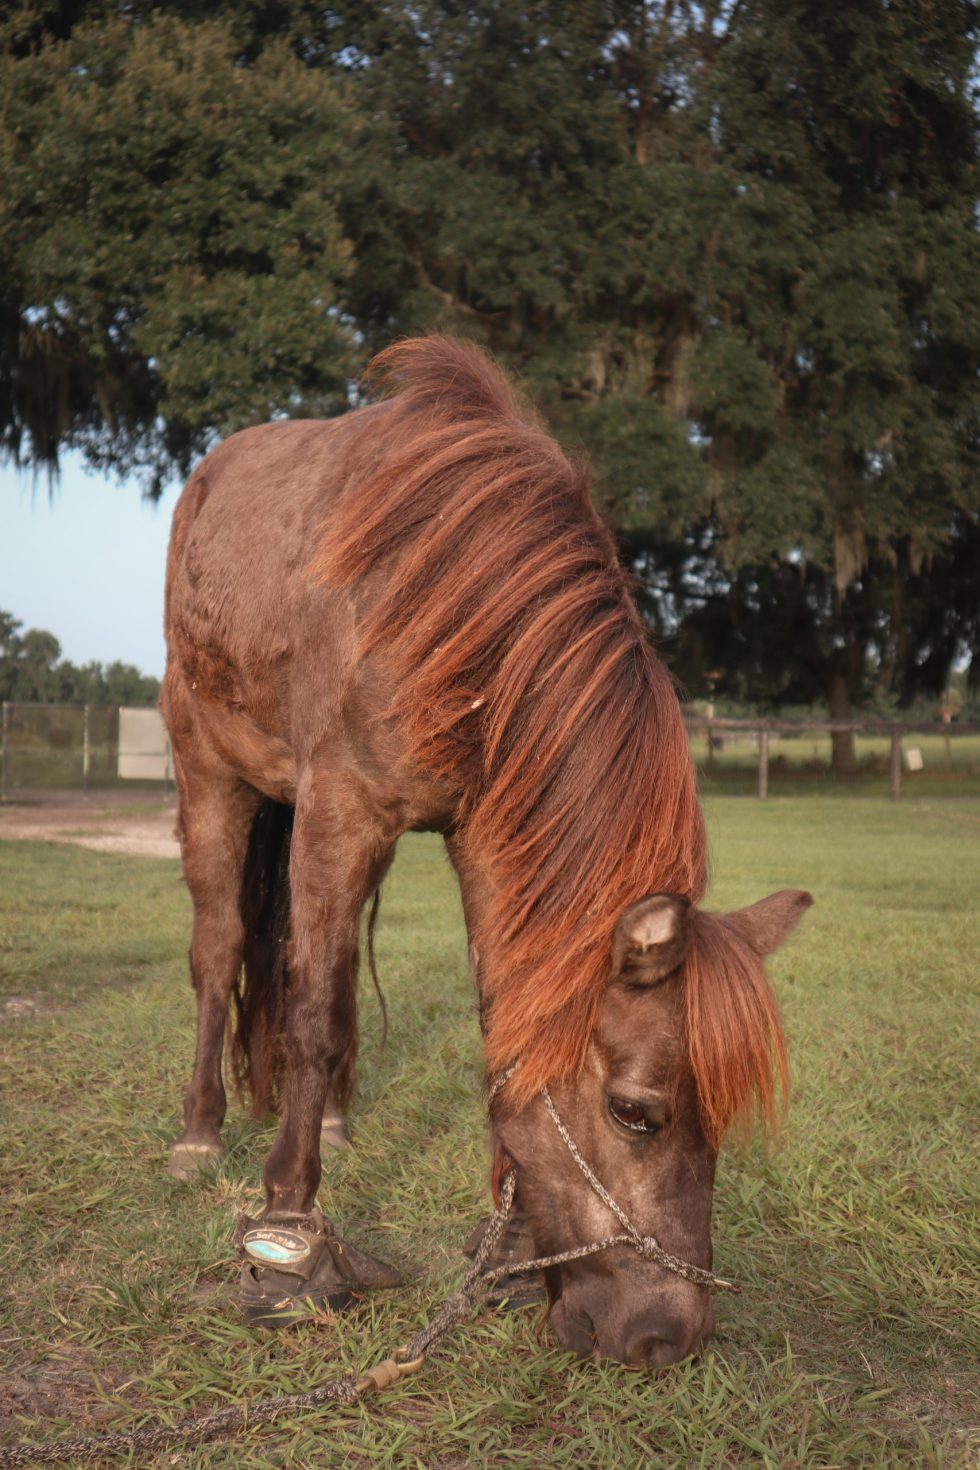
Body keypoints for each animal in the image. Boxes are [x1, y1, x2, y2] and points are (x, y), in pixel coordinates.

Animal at [161, 335, 811, 1368]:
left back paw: (335, 1120)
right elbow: (307, 1016)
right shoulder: (339, 810)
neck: (459, 601)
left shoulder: (476, 833)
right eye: (638, 1112)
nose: (665, 1338)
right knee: (222, 952)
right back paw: (197, 1138)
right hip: (211, 772)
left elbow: (489, 1023)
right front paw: (290, 1241)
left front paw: (502, 1245)